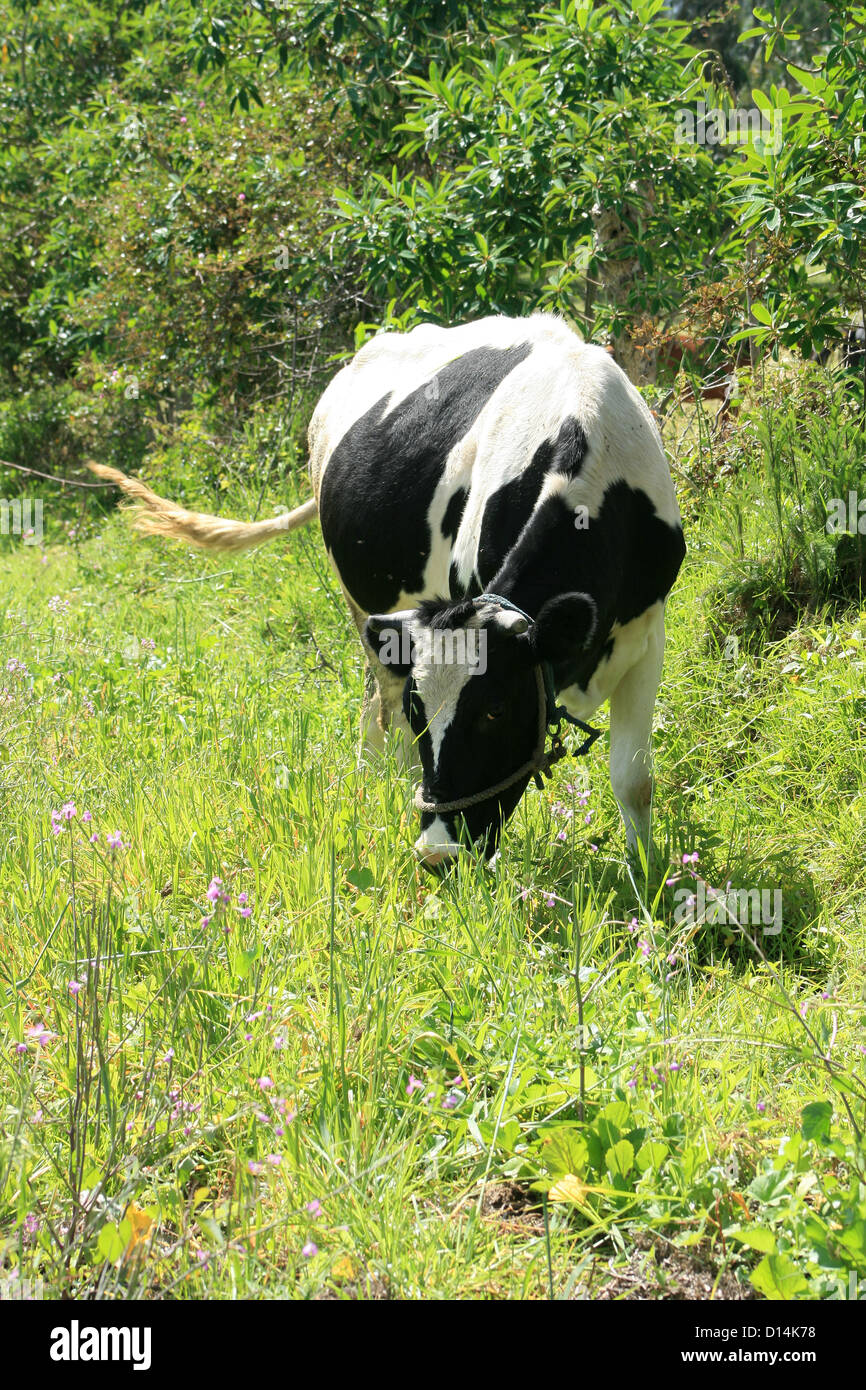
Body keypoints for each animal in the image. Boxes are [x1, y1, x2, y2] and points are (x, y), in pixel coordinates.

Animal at [91, 313, 686, 871]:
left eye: (495, 710)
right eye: (424, 710)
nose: (437, 853)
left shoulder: (650, 632)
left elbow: (633, 778)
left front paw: (645, 875)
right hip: (364, 608)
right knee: (380, 699)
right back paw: (378, 775)